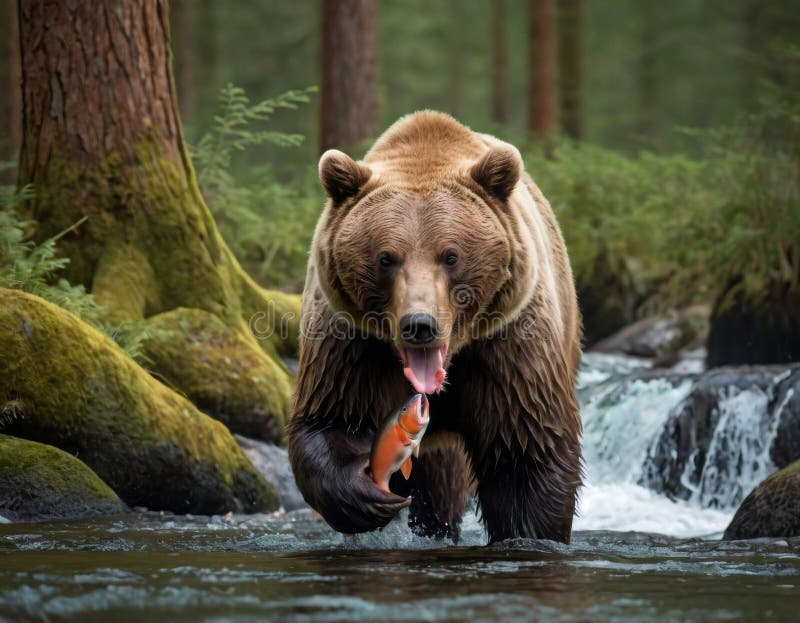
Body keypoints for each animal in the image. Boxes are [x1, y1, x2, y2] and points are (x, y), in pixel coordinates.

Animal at [288, 111, 582, 544]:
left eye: (451, 255)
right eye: (386, 258)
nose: (419, 324)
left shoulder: (508, 344)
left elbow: (525, 447)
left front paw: (526, 534)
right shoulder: (351, 342)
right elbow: (331, 418)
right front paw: (365, 494)